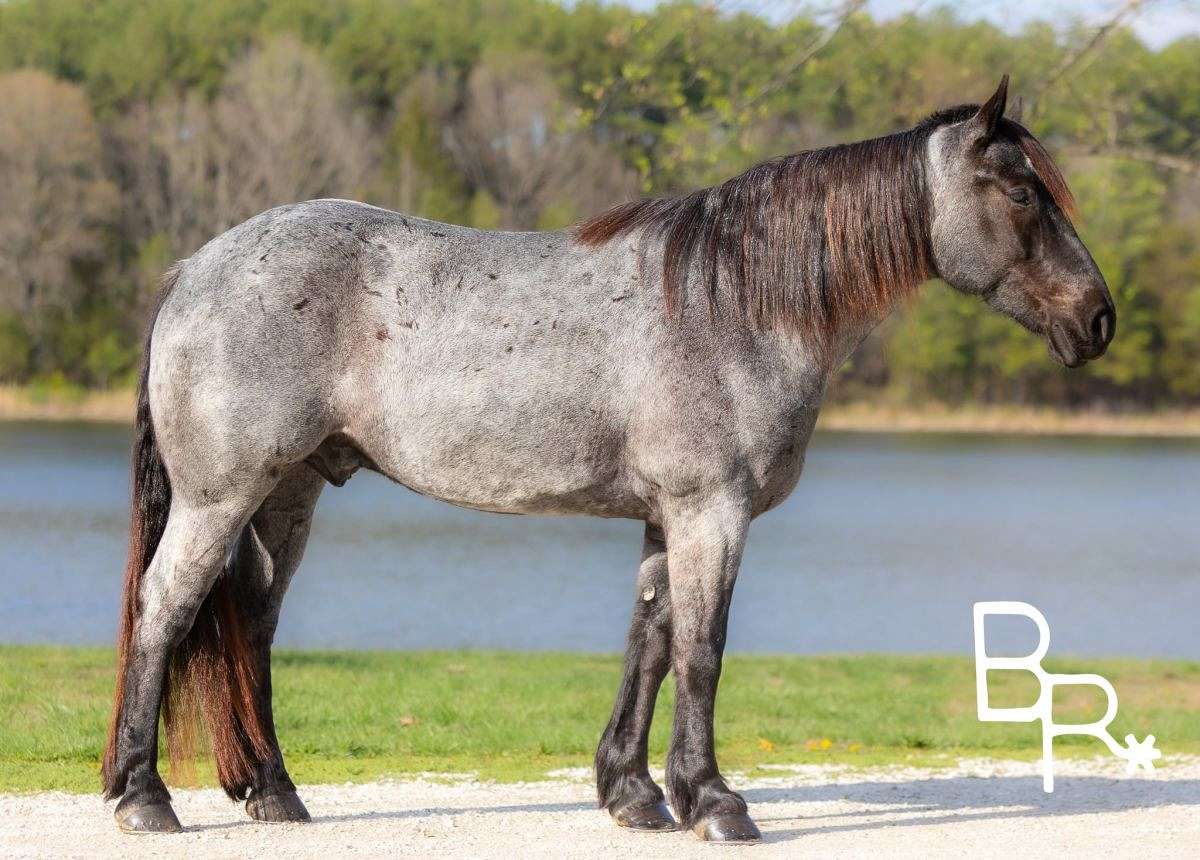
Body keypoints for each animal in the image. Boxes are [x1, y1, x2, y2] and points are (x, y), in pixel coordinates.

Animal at [101, 76, 1114, 842]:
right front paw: (716, 803)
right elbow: (702, 651)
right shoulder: (712, 511)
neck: (733, 302)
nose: (1099, 318)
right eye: (1022, 193)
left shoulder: (670, 518)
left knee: (250, 623)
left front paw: (634, 794)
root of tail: (193, 270)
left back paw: (274, 791)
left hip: (287, 496)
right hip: (221, 496)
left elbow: (651, 643)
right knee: (165, 607)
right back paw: (143, 796)